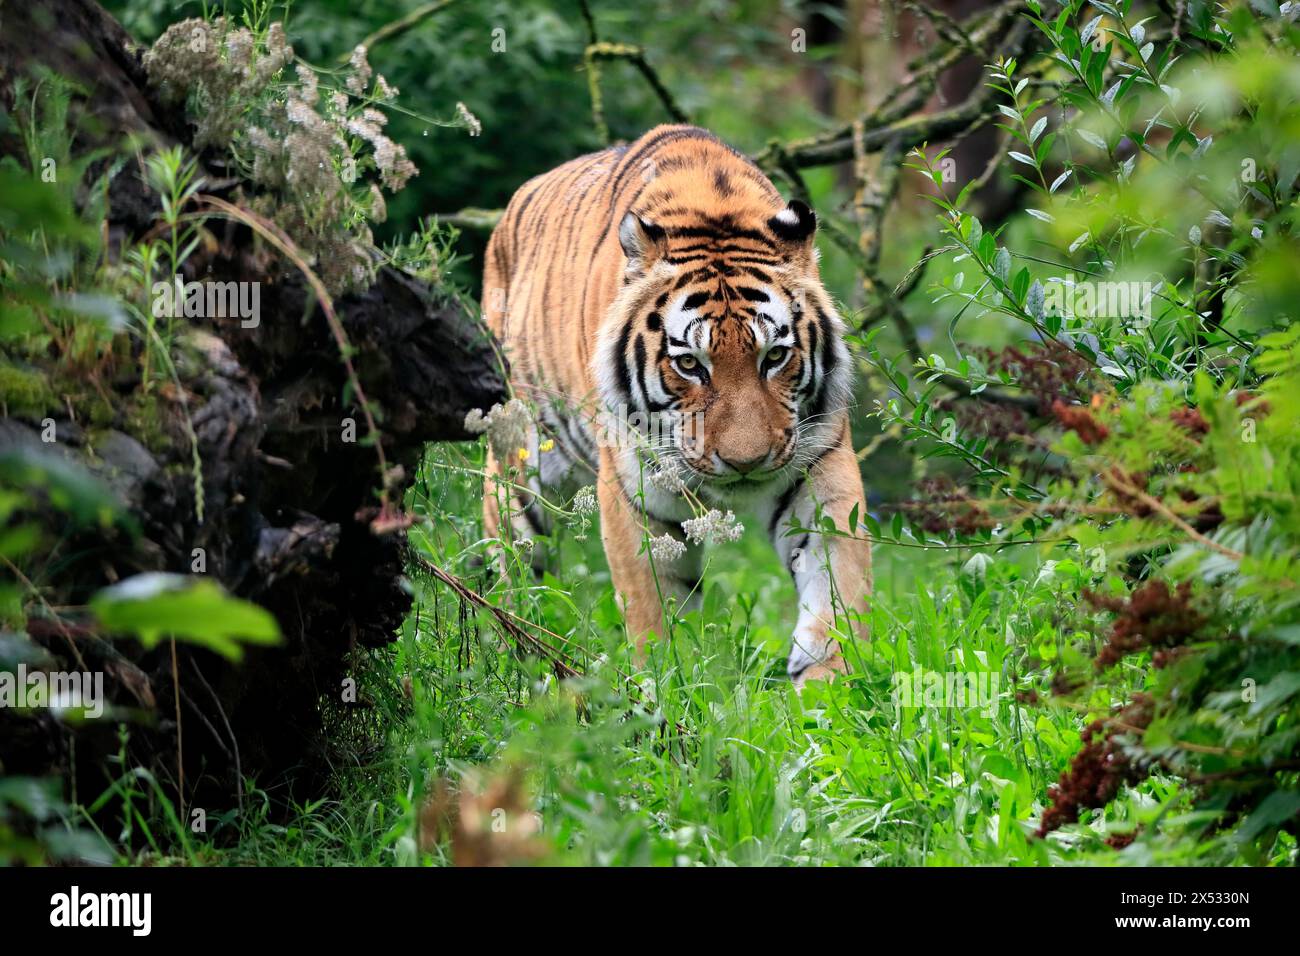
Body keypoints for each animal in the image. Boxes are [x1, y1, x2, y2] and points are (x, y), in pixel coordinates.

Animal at [480, 124, 871, 686]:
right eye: (689, 364)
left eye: (774, 356)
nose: (746, 463)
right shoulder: (633, 489)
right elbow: (653, 609)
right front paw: (668, 686)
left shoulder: (819, 464)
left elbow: (835, 586)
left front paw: (830, 685)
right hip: (520, 469)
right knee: (511, 564)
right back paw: (516, 653)